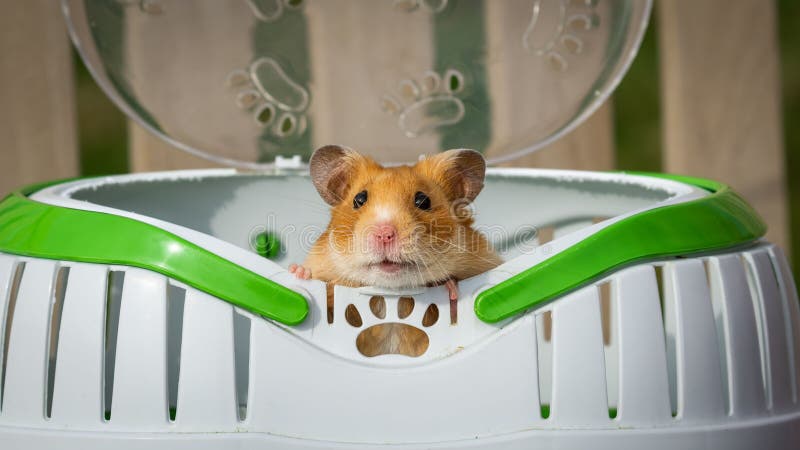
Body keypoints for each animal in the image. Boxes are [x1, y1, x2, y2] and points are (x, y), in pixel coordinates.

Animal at [290, 145, 502, 333]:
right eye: (359, 199)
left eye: (423, 200)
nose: (385, 234)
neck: (391, 297)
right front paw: (299, 272)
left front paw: (450, 287)